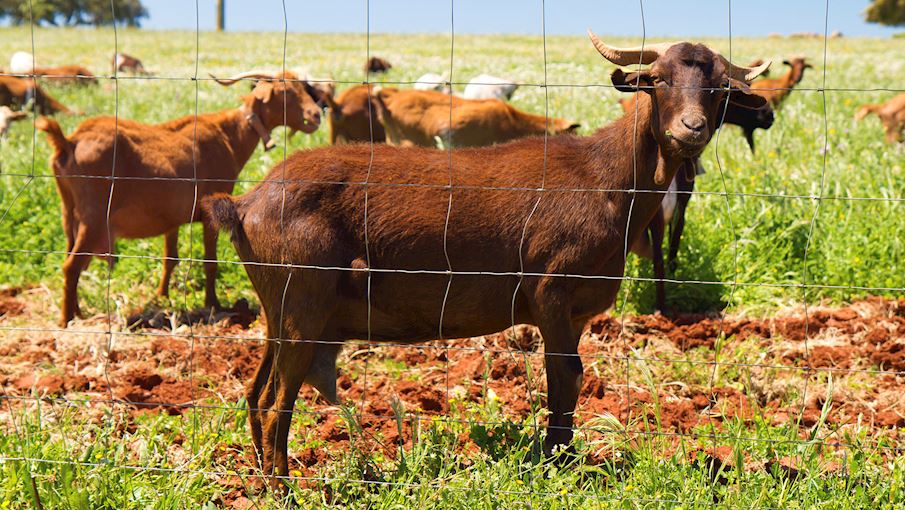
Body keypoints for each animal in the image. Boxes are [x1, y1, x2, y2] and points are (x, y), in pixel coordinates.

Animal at [36, 80, 322, 327]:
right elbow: (210, 261)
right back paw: (66, 320)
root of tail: (68, 142)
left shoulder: (171, 219)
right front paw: (213, 305)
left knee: (70, 260)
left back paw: (77, 312)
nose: (316, 115)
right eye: (285, 92)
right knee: (71, 266)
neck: (229, 135)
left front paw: (162, 298)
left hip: (69, 213)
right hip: (94, 217)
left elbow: (170, 259)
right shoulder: (210, 212)